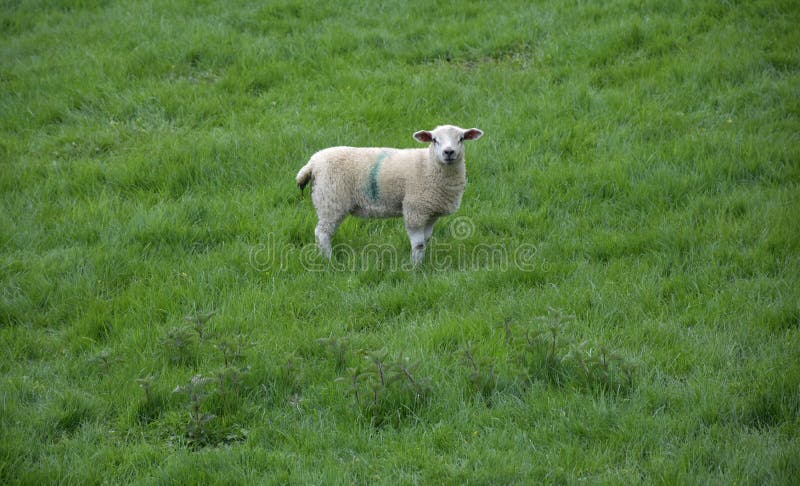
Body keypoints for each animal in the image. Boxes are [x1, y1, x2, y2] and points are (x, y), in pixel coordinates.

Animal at [295, 125, 484, 265]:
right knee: (322, 233)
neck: (428, 165)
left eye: (461, 139)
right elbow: (419, 244)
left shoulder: (430, 212)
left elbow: (426, 239)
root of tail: (312, 163)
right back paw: (328, 260)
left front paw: (423, 263)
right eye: (435, 140)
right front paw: (415, 268)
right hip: (330, 201)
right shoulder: (414, 208)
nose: (449, 152)